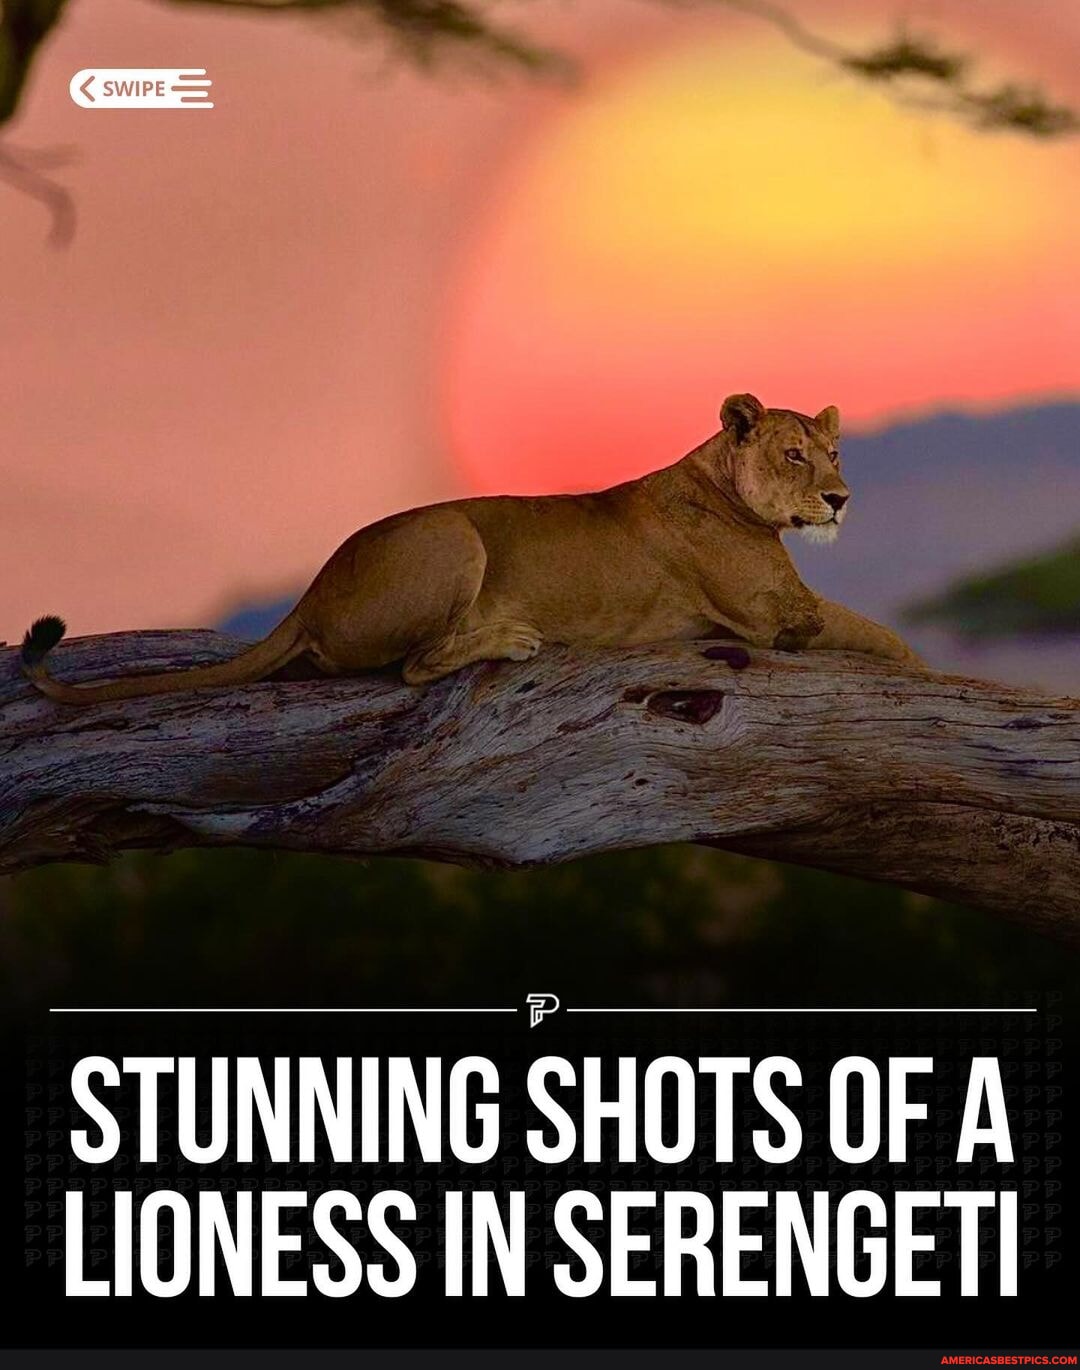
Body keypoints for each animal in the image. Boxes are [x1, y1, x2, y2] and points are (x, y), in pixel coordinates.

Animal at [21, 393, 921, 704]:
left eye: (834, 452)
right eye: (795, 455)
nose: (841, 497)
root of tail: (312, 591)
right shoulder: (776, 613)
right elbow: (885, 638)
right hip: (453, 535)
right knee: (414, 665)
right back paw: (511, 638)